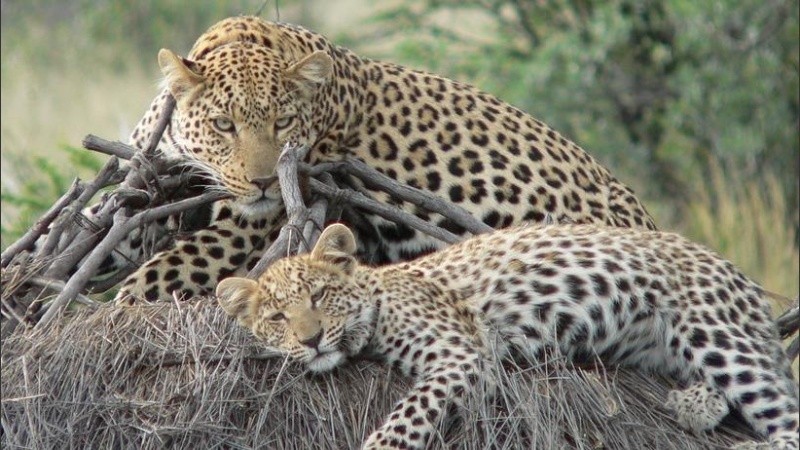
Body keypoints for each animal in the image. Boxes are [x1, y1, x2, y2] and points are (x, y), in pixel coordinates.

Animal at [109, 15, 656, 303]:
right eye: (224, 125)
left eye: (282, 124)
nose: (265, 182)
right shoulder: (142, 178)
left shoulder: (260, 223)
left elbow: (165, 271)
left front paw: (117, 309)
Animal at [216, 223, 799, 450]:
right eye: (276, 317)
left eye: (318, 296)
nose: (311, 340)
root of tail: (741, 275)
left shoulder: (462, 354)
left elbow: (405, 418)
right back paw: (697, 405)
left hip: (716, 334)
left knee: (786, 417)